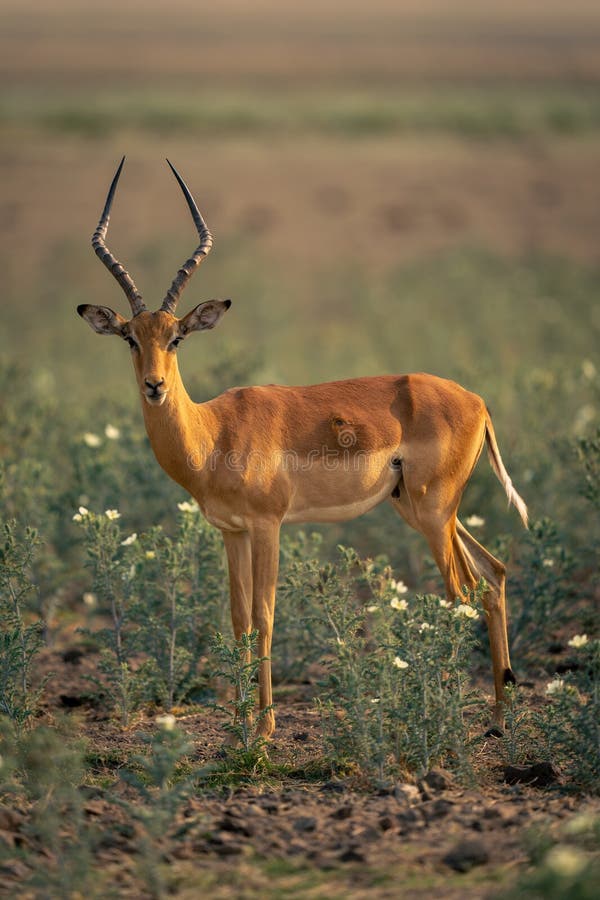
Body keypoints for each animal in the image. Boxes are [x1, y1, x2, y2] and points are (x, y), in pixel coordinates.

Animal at [78, 158, 528, 739]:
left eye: (176, 337)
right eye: (130, 337)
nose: (154, 386)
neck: (214, 432)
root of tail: (477, 401)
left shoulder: (268, 525)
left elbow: (266, 616)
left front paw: (265, 728)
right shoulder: (231, 531)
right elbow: (239, 618)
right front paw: (239, 721)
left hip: (433, 513)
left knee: (462, 594)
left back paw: (451, 718)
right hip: (419, 508)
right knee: (494, 578)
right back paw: (498, 717)